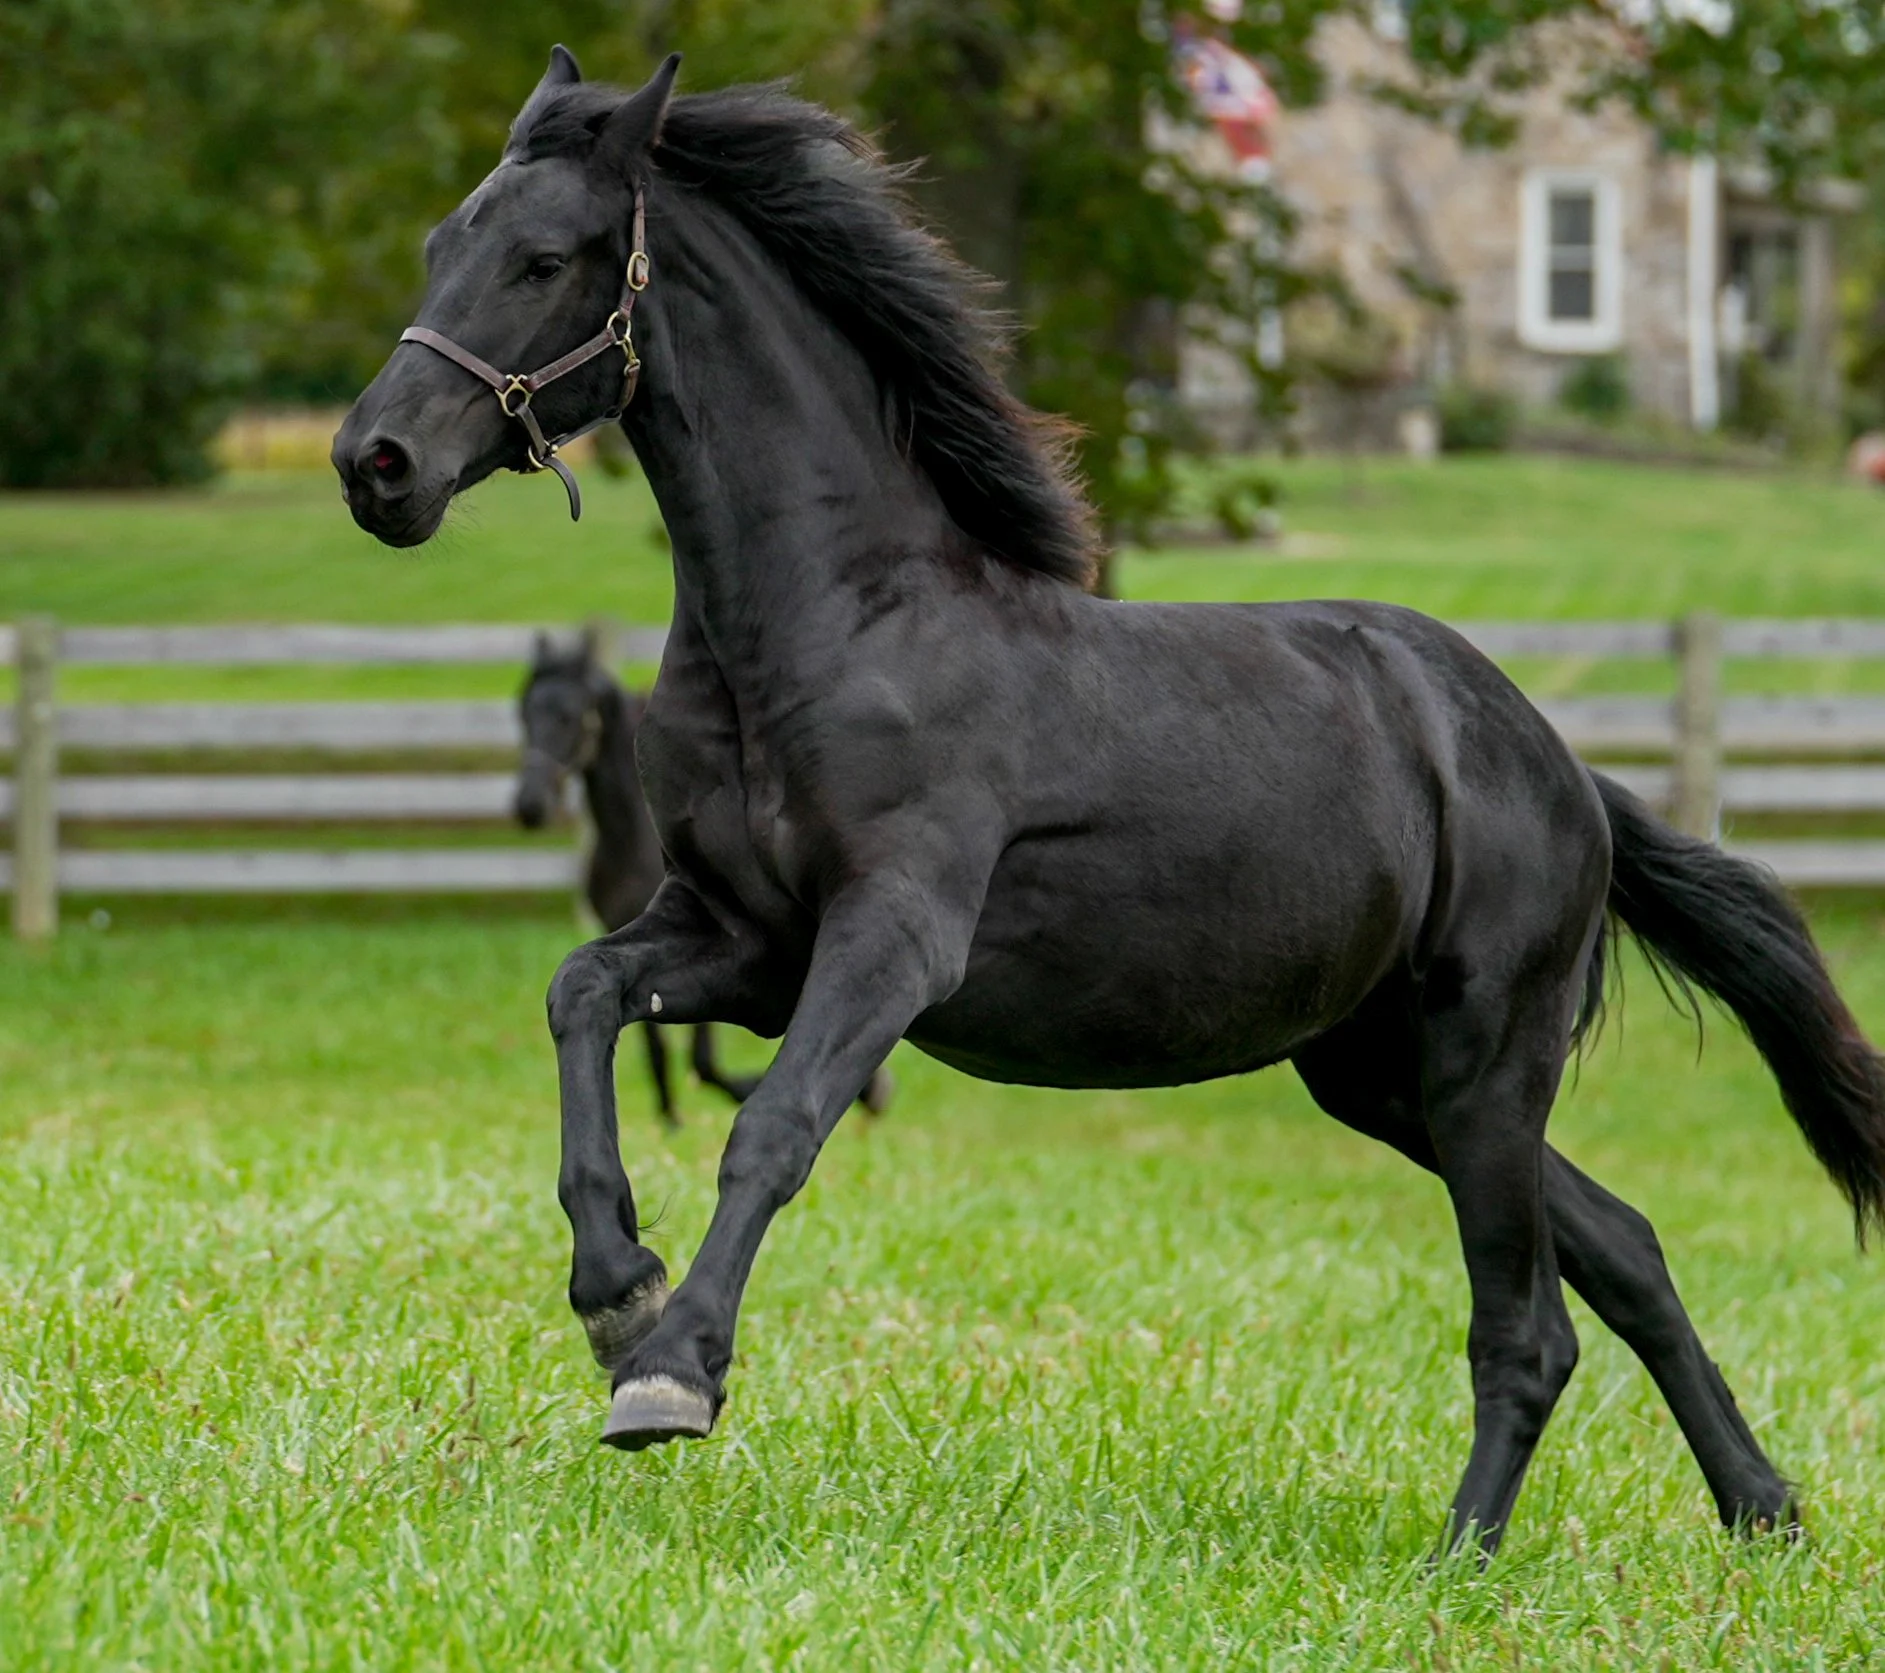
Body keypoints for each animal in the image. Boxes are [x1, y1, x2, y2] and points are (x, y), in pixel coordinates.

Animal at [513, 628, 893, 1127]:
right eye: (522, 711)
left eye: (571, 715)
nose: (529, 806)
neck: (627, 838)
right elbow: (654, 1047)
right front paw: (669, 1118)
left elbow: (704, 1060)